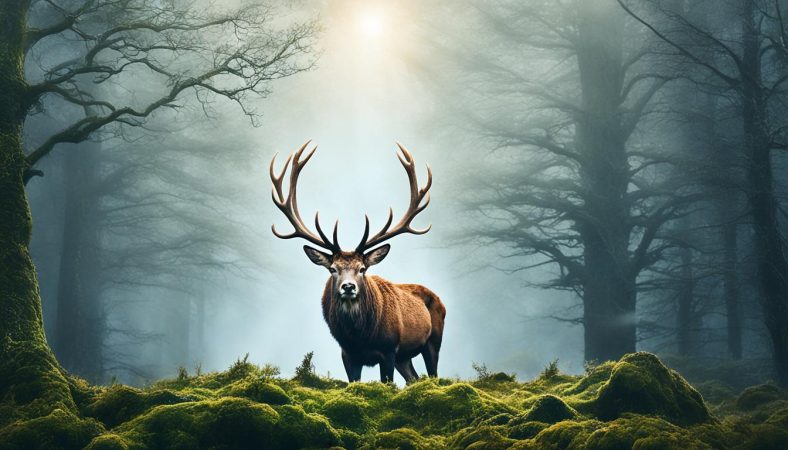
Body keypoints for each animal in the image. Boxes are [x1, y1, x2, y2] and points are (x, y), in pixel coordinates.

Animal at [269, 141, 446, 384]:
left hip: (433, 341)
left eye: (362, 269)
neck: (360, 337)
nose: (348, 287)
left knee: (433, 373)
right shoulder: (347, 354)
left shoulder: (389, 349)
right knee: (414, 378)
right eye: (333, 269)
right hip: (404, 357)